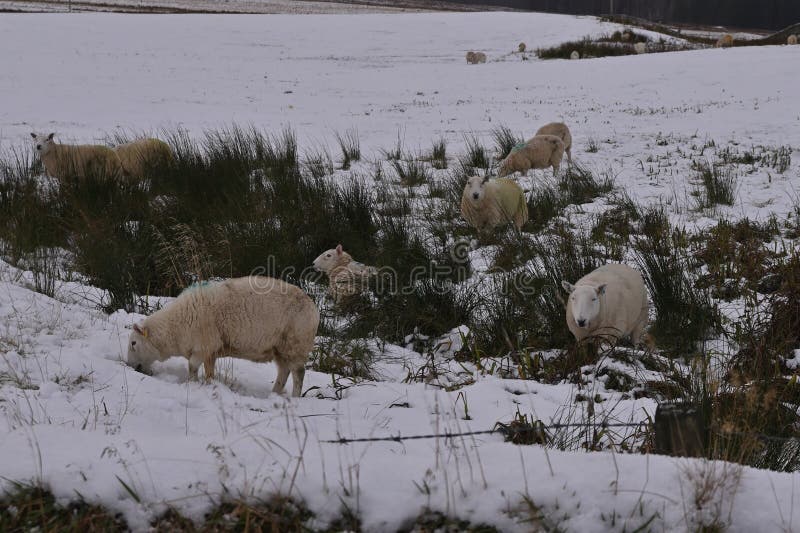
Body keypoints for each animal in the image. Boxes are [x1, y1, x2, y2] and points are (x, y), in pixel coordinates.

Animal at [126, 276, 319, 397]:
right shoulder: (210, 351)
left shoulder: (204, 345)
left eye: (134, 343)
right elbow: (209, 371)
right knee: (284, 371)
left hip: (296, 344)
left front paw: (192, 384)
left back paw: (295, 397)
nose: (129, 366)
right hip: (280, 348)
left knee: (298, 373)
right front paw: (209, 384)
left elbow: (192, 366)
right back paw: (275, 394)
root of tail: (314, 307)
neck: (176, 326)